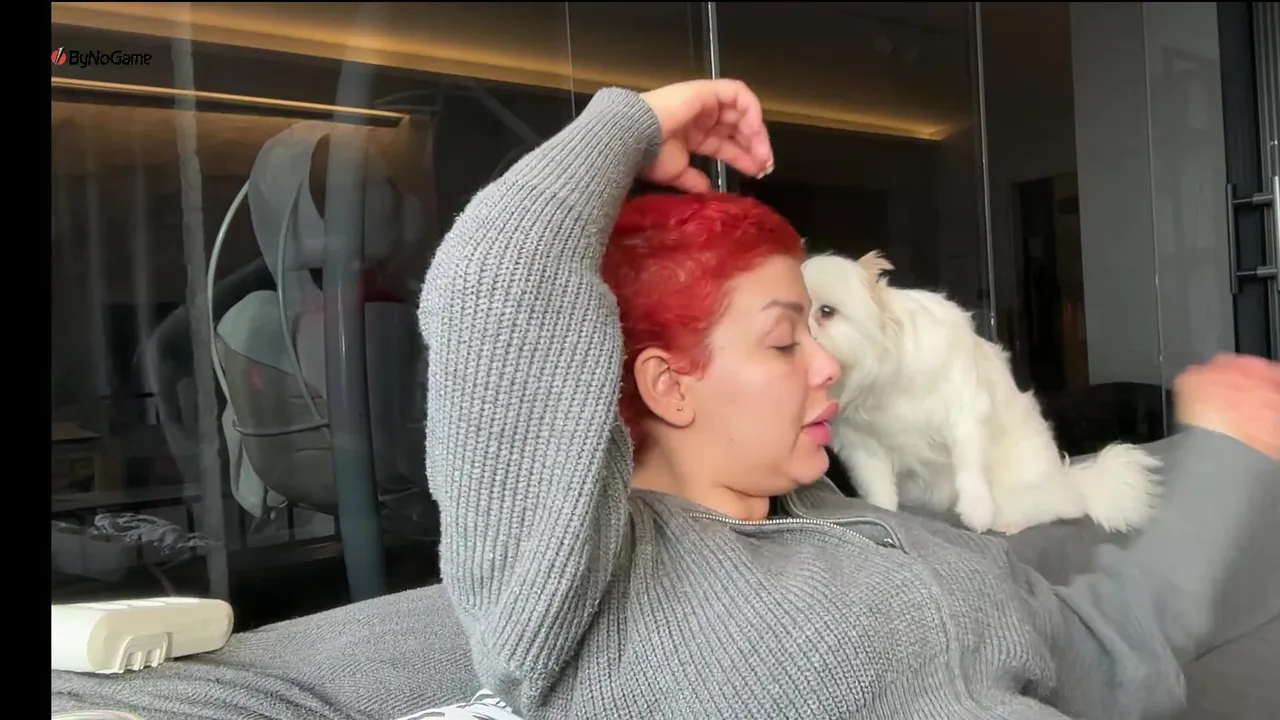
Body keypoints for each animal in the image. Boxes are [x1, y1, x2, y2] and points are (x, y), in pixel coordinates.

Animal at [801, 251, 1160, 534]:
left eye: (826, 311)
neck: (879, 382)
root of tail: (1069, 479)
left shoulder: (964, 414)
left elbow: (969, 469)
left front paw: (977, 513)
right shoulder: (863, 449)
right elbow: (880, 493)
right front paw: (885, 515)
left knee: (1061, 506)